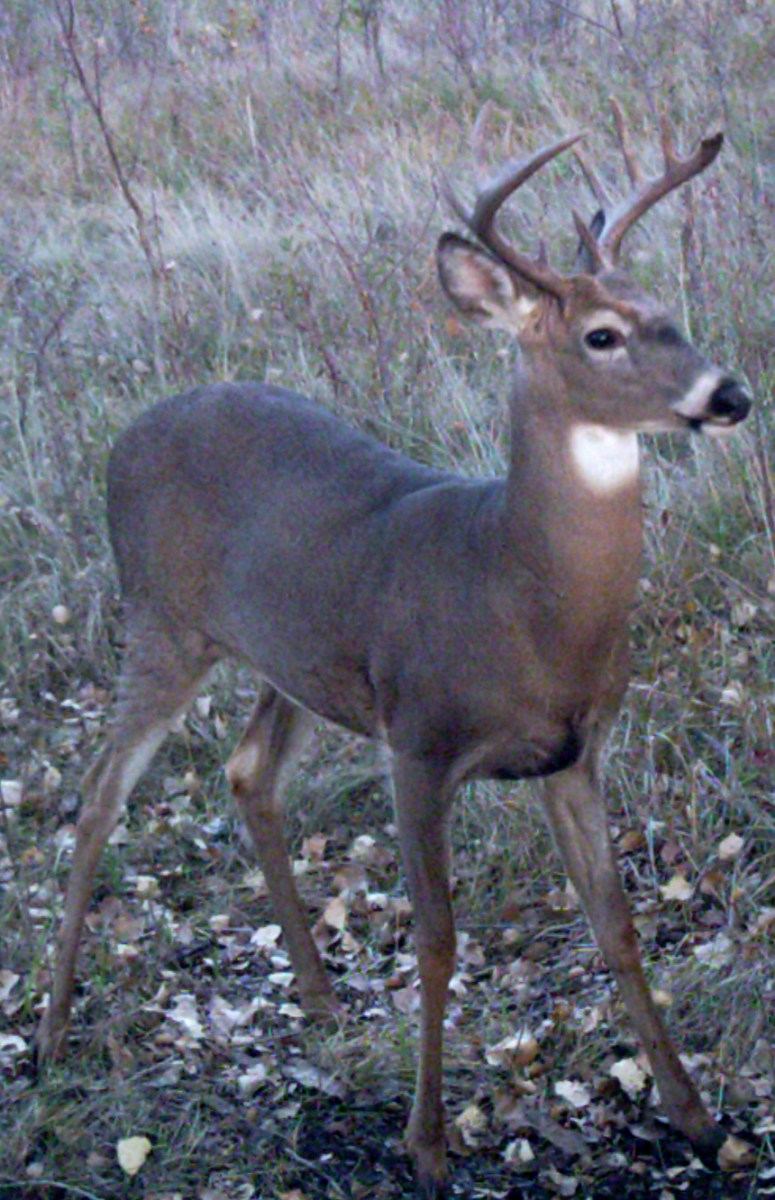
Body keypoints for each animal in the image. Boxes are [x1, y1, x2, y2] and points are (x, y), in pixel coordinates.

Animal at [37, 102, 754, 1196]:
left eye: (665, 309)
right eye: (601, 334)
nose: (729, 395)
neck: (522, 597)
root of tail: (126, 434)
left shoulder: (574, 751)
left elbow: (617, 923)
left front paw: (697, 1117)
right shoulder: (419, 740)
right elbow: (438, 939)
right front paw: (426, 1145)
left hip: (295, 662)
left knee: (247, 771)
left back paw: (321, 998)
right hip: (161, 624)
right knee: (98, 795)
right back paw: (52, 1030)